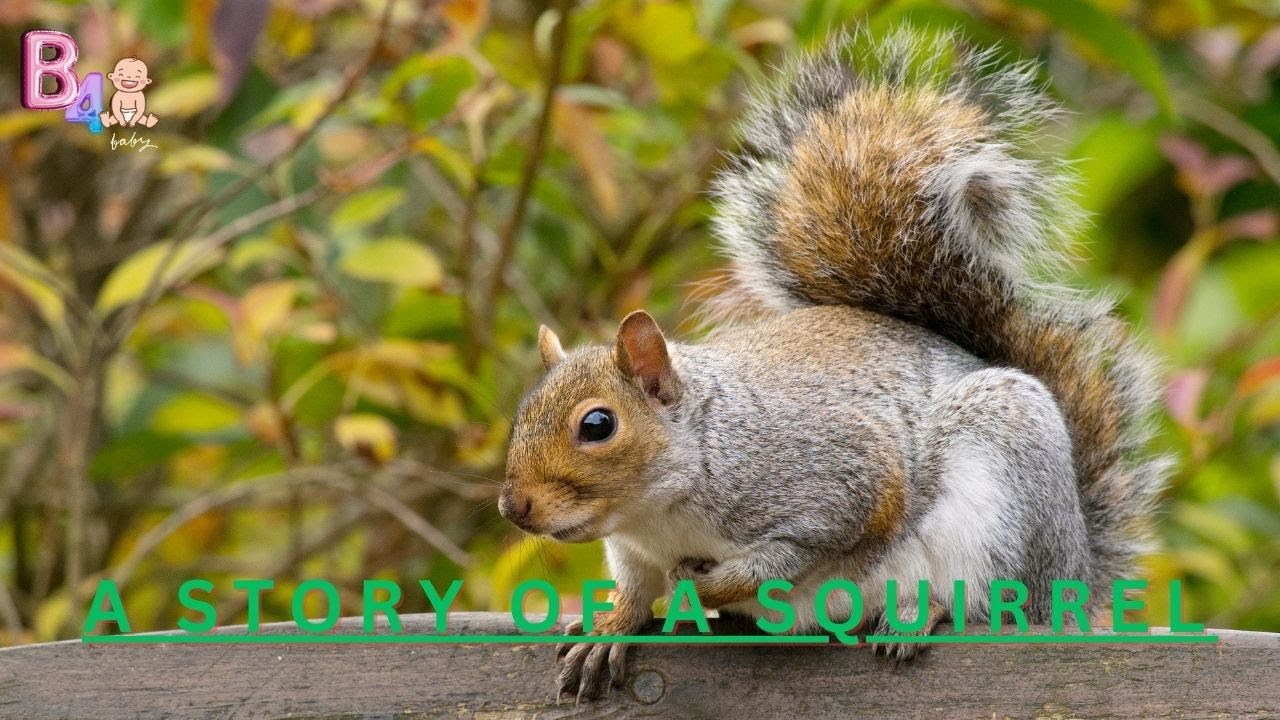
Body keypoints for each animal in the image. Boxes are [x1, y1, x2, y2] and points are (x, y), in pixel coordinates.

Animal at [500, 29, 1168, 702]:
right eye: (521, 413)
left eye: (598, 425)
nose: (513, 508)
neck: (659, 509)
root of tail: (1076, 570)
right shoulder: (632, 551)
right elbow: (636, 590)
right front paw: (610, 626)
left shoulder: (835, 485)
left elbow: (789, 554)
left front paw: (705, 584)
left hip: (1004, 479)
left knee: (987, 599)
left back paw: (922, 614)